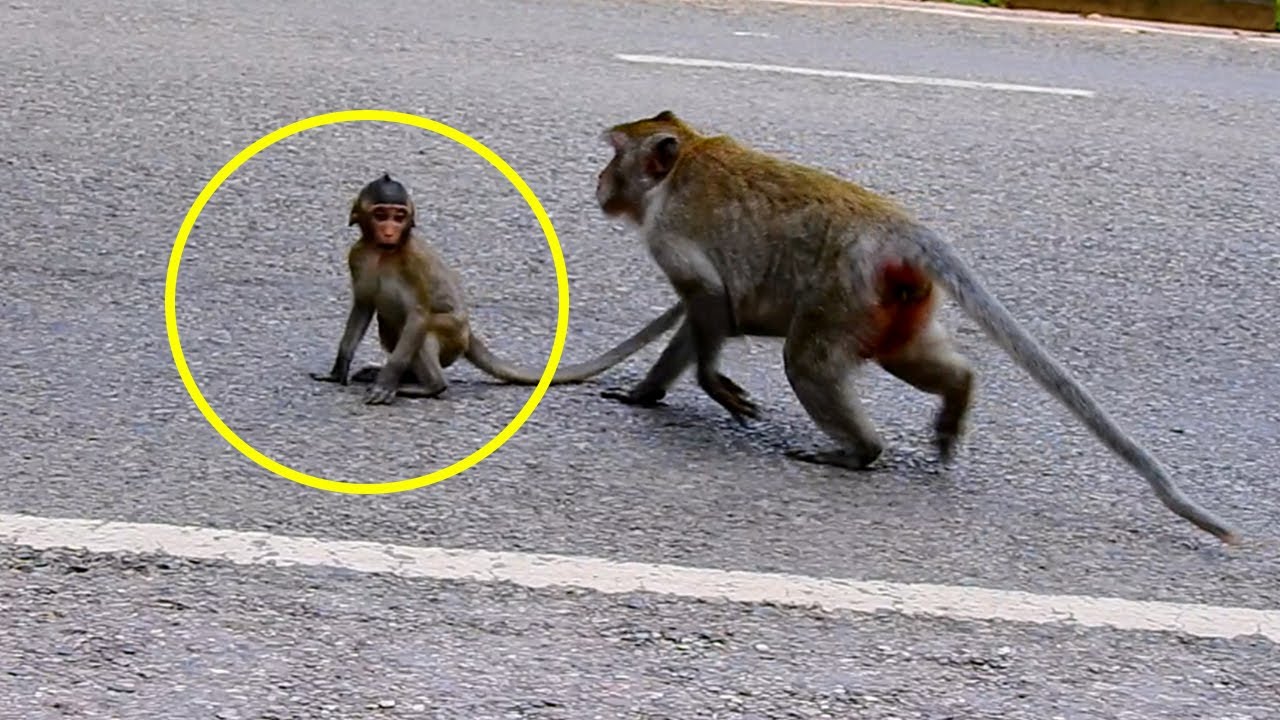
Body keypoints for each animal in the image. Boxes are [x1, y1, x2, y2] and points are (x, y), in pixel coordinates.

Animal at [311, 172, 685, 405]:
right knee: (390, 325)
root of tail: (468, 334)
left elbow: (418, 314)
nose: (390, 230)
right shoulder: (358, 255)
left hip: (453, 337)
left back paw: (427, 386)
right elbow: (363, 305)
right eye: (381, 214)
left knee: (424, 328)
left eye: (398, 215)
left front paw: (388, 382)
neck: (383, 252)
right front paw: (339, 370)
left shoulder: (412, 260)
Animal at [592, 110, 1240, 545]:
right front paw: (646, 392)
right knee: (907, 358)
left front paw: (709, 382)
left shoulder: (670, 235)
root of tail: (896, 227)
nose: (598, 181)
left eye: (614, 154)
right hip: (894, 304)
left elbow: (707, 300)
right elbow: (700, 315)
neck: (683, 162)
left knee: (807, 362)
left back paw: (858, 452)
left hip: (845, 294)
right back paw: (956, 397)